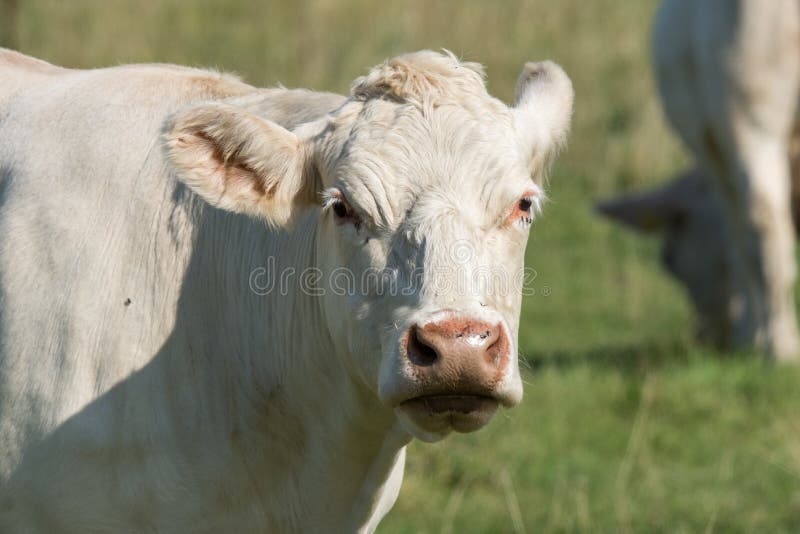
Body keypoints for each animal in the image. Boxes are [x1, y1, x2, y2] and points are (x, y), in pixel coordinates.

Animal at [597, 0, 800, 362]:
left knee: (762, 223)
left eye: (671, 261)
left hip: (746, 110)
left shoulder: (717, 161)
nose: (706, 337)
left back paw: (780, 348)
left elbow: (738, 243)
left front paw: (751, 334)